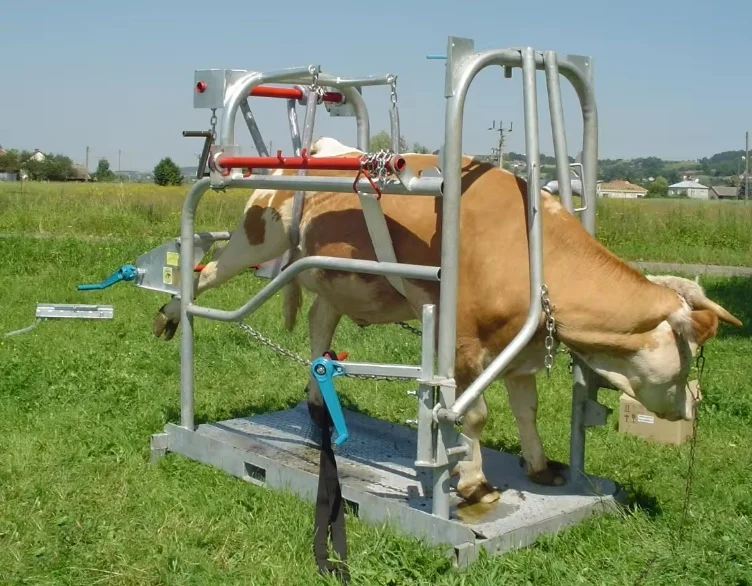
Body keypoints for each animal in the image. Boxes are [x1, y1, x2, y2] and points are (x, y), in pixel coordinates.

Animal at [152, 136, 742, 506]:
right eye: (686, 359)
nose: (691, 409)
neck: (530, 251)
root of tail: (316, 151)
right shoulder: (462, 343)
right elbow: (474, 416)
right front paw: (475, 483)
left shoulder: (522, 346)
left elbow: (526, 410)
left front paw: (540, 467)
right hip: (258, 239)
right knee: (202, 276)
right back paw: (169, 316)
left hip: (334, 280)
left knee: (320, 332)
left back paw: (320, 408)